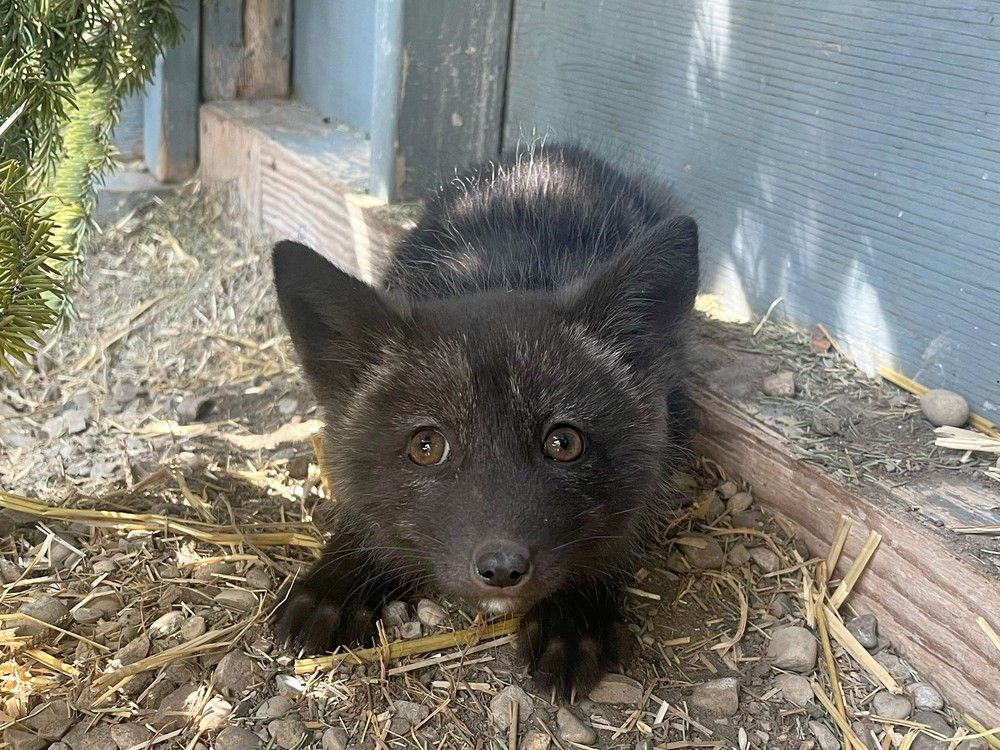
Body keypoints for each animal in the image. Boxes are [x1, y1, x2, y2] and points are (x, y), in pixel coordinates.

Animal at [270, 143, 699, 695]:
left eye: (564, 442)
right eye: (426, 446)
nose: (502, 568)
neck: (504, 275)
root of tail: (557, 151)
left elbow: (616, 537)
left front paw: (571, 621)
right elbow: (362, 509)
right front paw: (337, 581)